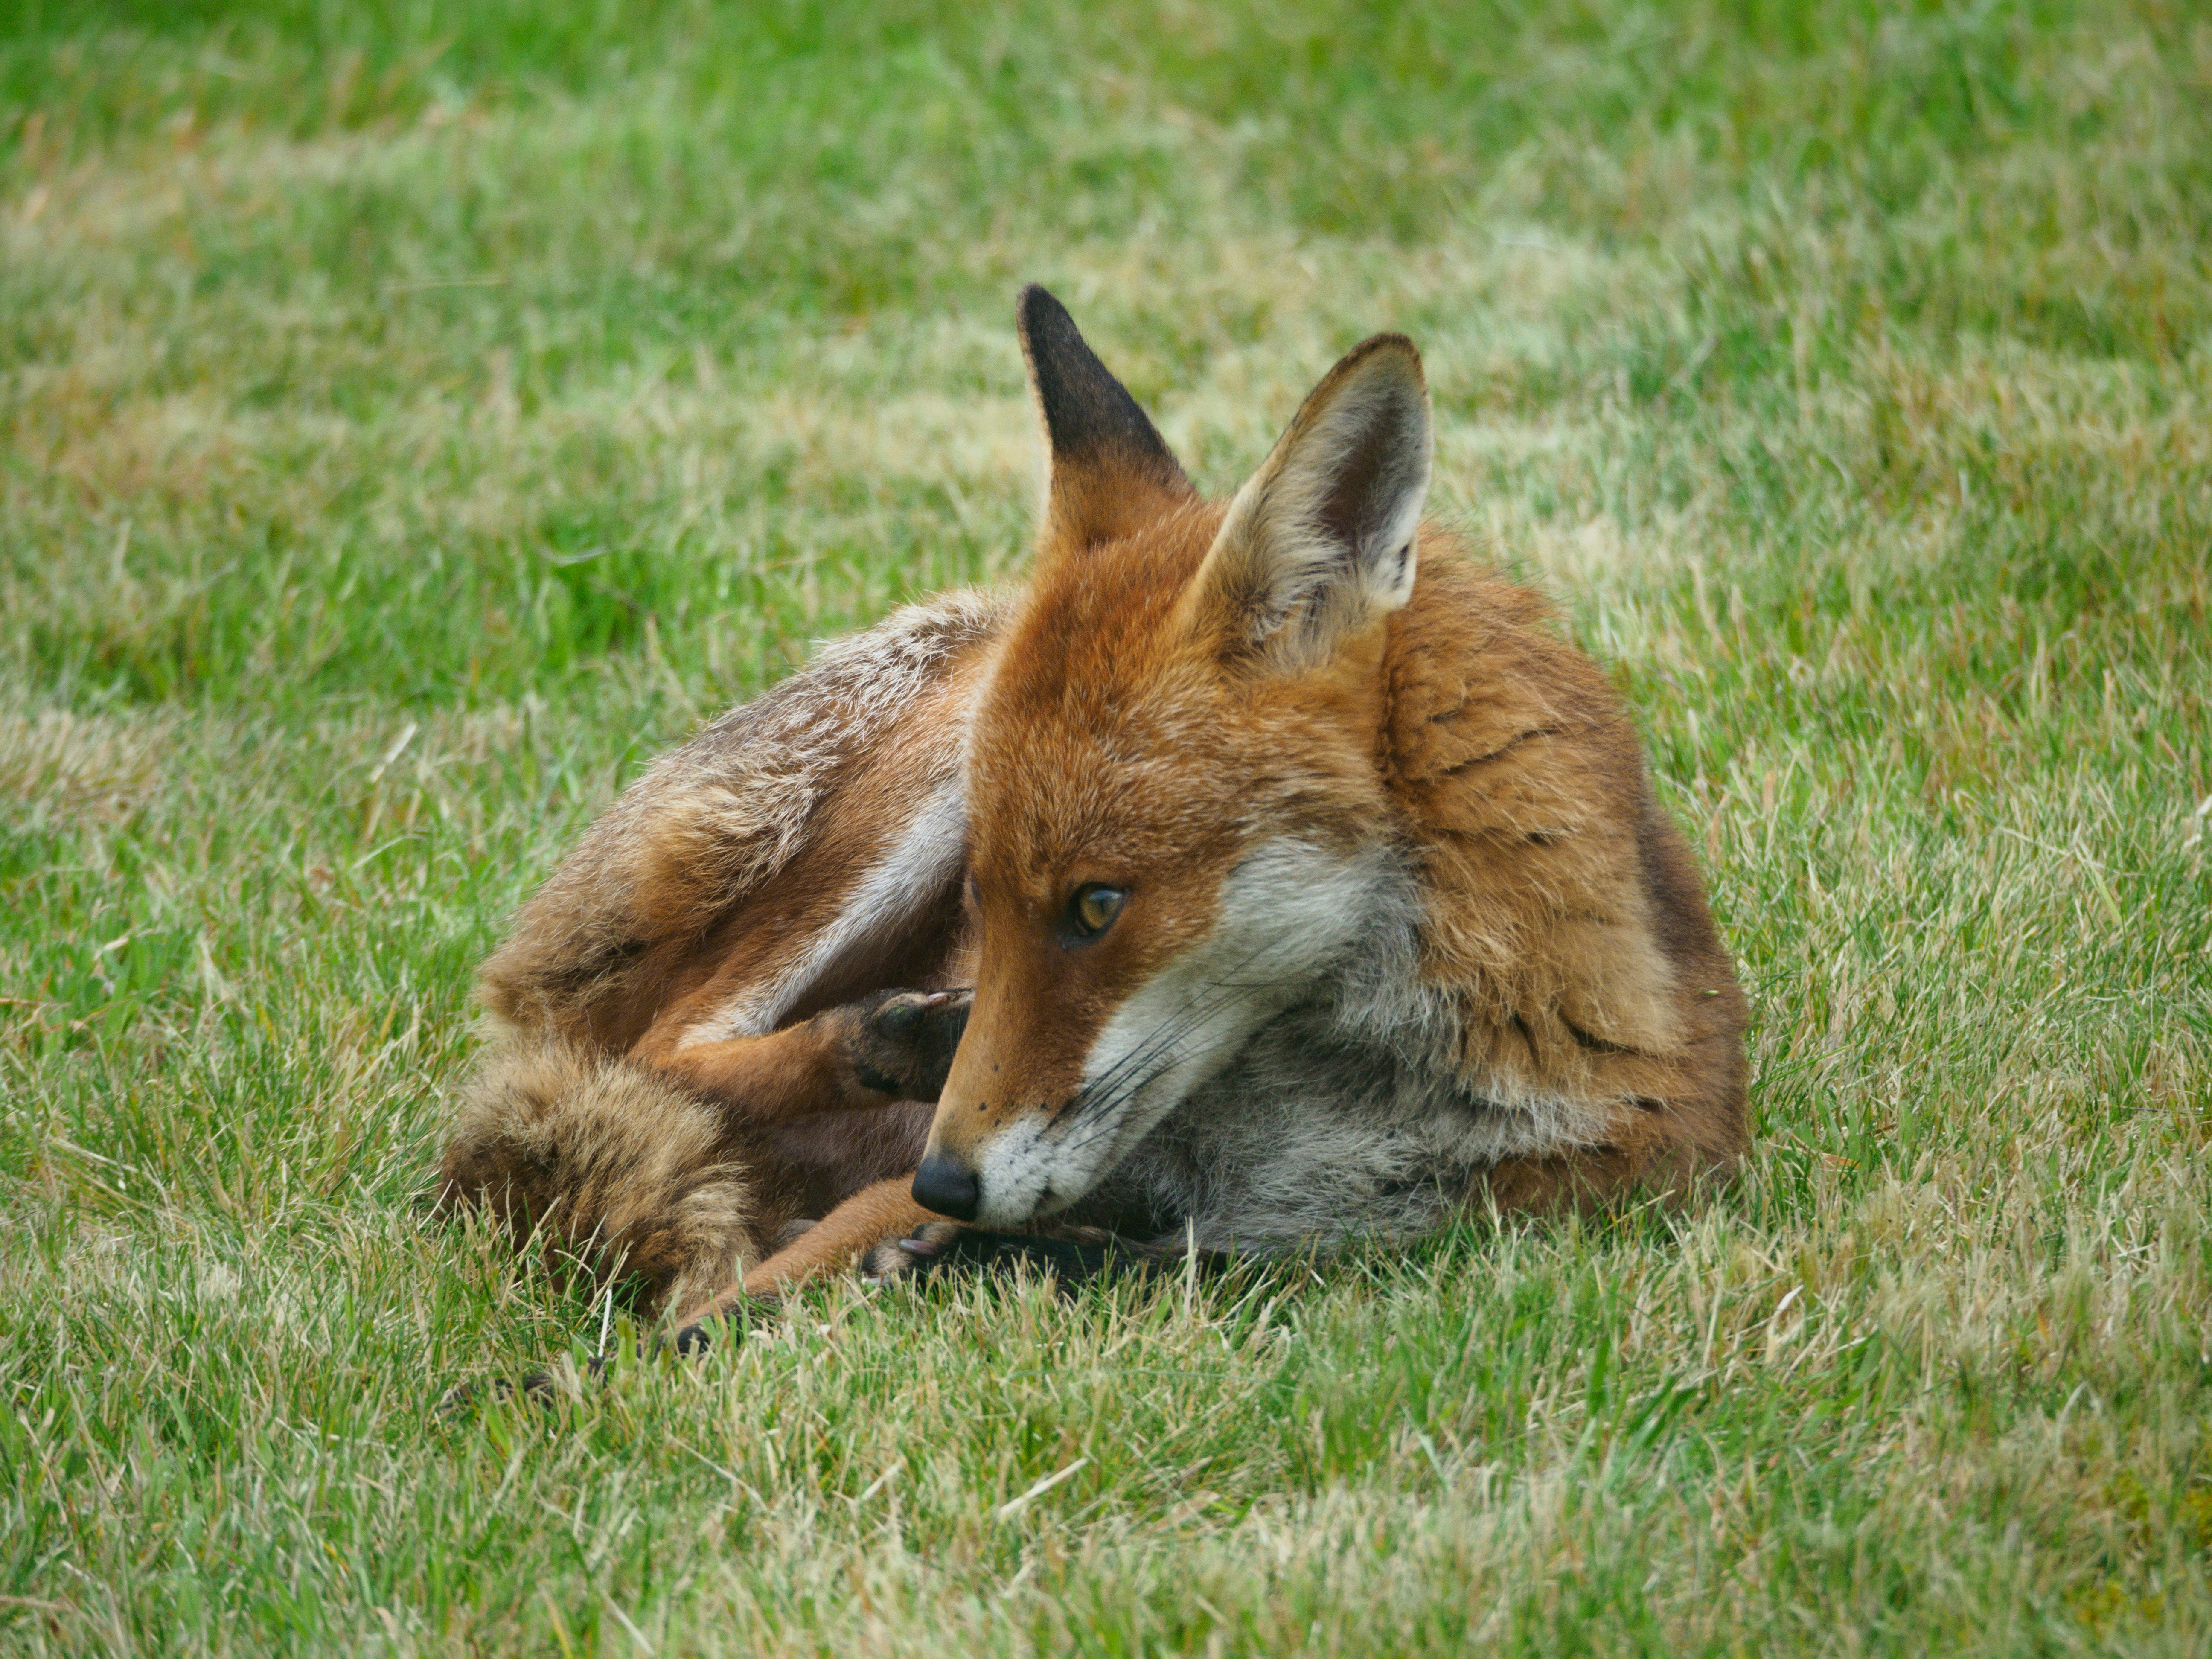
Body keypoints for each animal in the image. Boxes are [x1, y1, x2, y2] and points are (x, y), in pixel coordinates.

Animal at [436, 286, 1750, 1342]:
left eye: (1097, 906)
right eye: (985, 901)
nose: (948, 1186)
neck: (1339, 1088)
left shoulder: (1483, 1214)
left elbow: (1193, 1261)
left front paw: (1024, 1258)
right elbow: (709, 1321)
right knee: (661, 1045)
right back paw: (881, 1043)